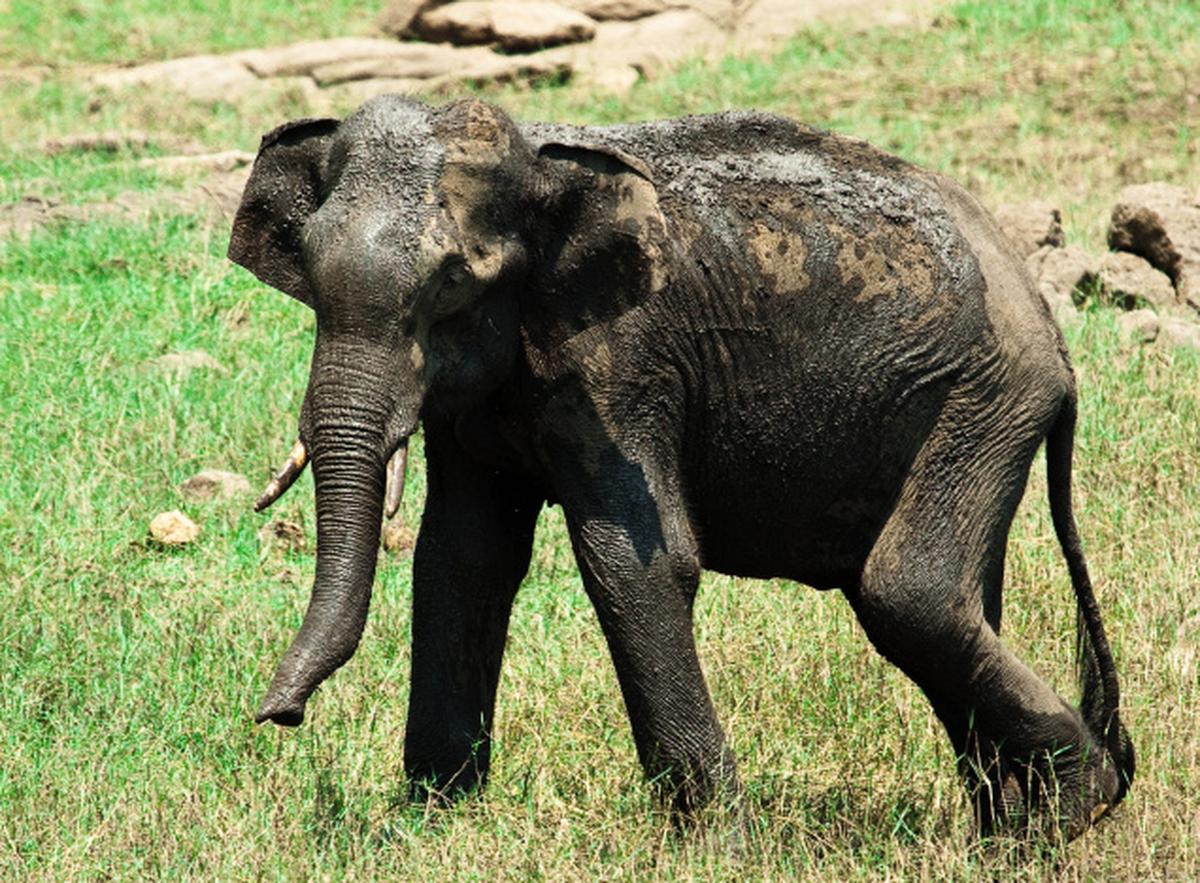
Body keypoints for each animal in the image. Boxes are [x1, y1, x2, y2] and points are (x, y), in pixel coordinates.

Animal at [228, 95, 1133, 841]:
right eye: (307, 270)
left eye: (454, 280)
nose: (277, 716)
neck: (545, 165)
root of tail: (1049, 325)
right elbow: (462, 559)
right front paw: (434, 822)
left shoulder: (624, 368)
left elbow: (635, 560)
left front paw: (719, 845)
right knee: (957, 602)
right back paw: (1006, 833)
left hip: (984, 400)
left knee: (908, 592)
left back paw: (1072, 810)